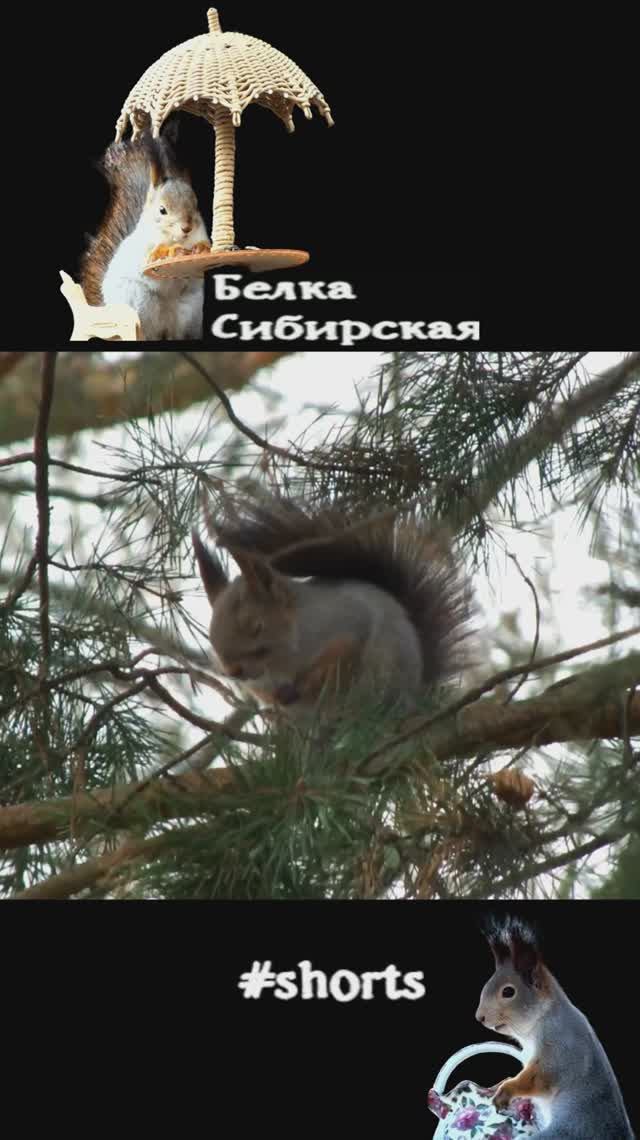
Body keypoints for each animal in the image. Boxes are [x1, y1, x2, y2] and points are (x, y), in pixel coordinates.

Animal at [81, 126, 209, 341]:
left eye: (196, 205)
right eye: (162, 210)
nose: (186, 227)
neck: (177, 238)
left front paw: (199, 249)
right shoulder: (142, 251)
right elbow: (150, 260)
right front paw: (172, 251)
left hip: (189, 311)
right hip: (139, 306)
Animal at [192, 495, 469, 723]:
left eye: (256, 626)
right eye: (211, 637)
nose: (233, 672)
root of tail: (420, 689)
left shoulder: (345, 620)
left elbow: (341, 651)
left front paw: (307, 683)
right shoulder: (261, 684)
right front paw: (278, 698)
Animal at [475, 915, 634, 1138]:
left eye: (508, 992)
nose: (479, 1017)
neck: (542, 1019)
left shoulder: (560, 1046)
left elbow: (539, 1077)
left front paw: (507, 1088)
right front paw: (498, 1084)